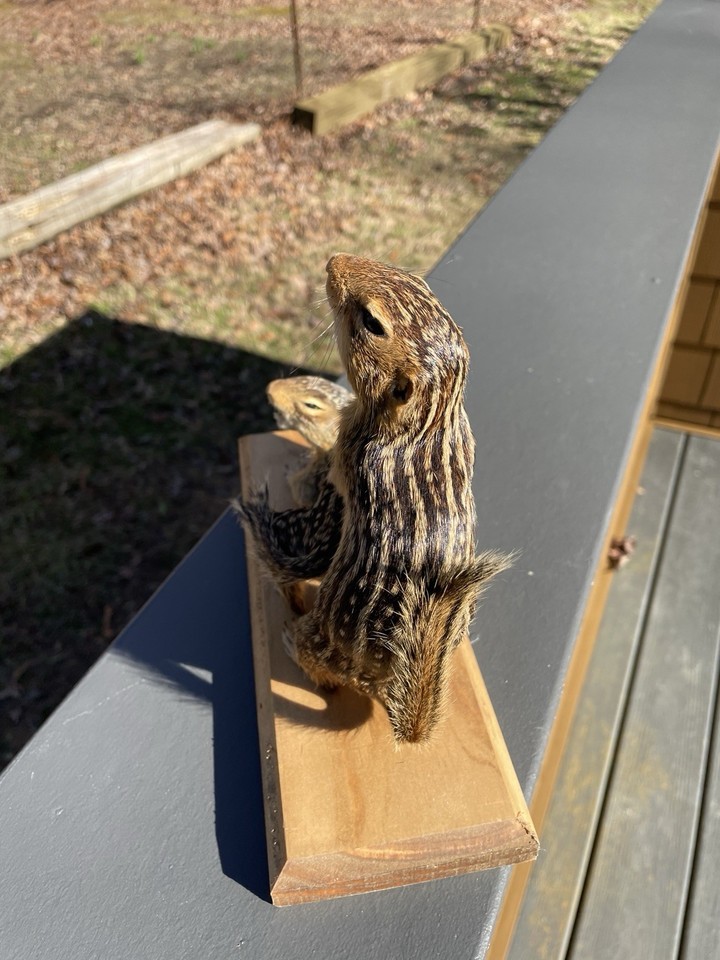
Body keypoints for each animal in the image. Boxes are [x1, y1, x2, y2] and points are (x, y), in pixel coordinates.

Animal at [237, 254, 512, 744]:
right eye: (417, 282)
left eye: (371, 321)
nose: (334, 260)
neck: (432, 420)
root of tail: (381, 679)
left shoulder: (348, 453)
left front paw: (301, 469)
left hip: (320, 639)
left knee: (320, 669)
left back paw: (291, 646)